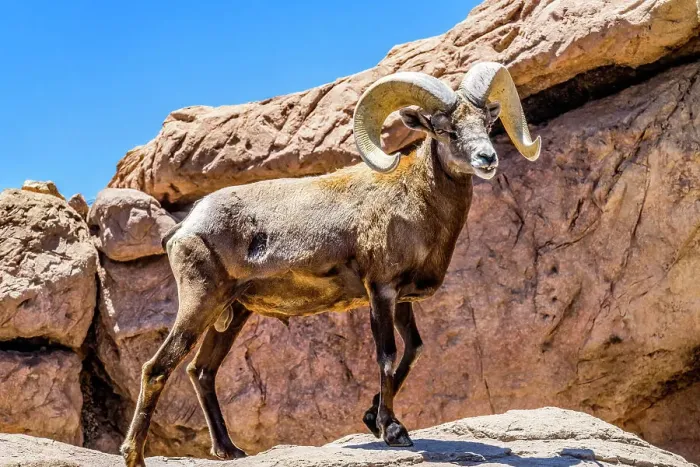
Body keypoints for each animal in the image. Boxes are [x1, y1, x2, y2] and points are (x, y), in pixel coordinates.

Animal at [121, 62, 540, 467]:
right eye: (444, 130)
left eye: (487, 124)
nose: (487, 159)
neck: (416, 205)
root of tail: (186, 227)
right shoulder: (381, 291)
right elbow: (387, 355)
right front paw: (392, 431)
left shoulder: (402, 300)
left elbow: (413, 351)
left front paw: (372, 420)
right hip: (201, 302)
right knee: (157, 368)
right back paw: (135, 456)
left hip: (233, 313)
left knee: (202, 371)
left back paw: (229, 450)